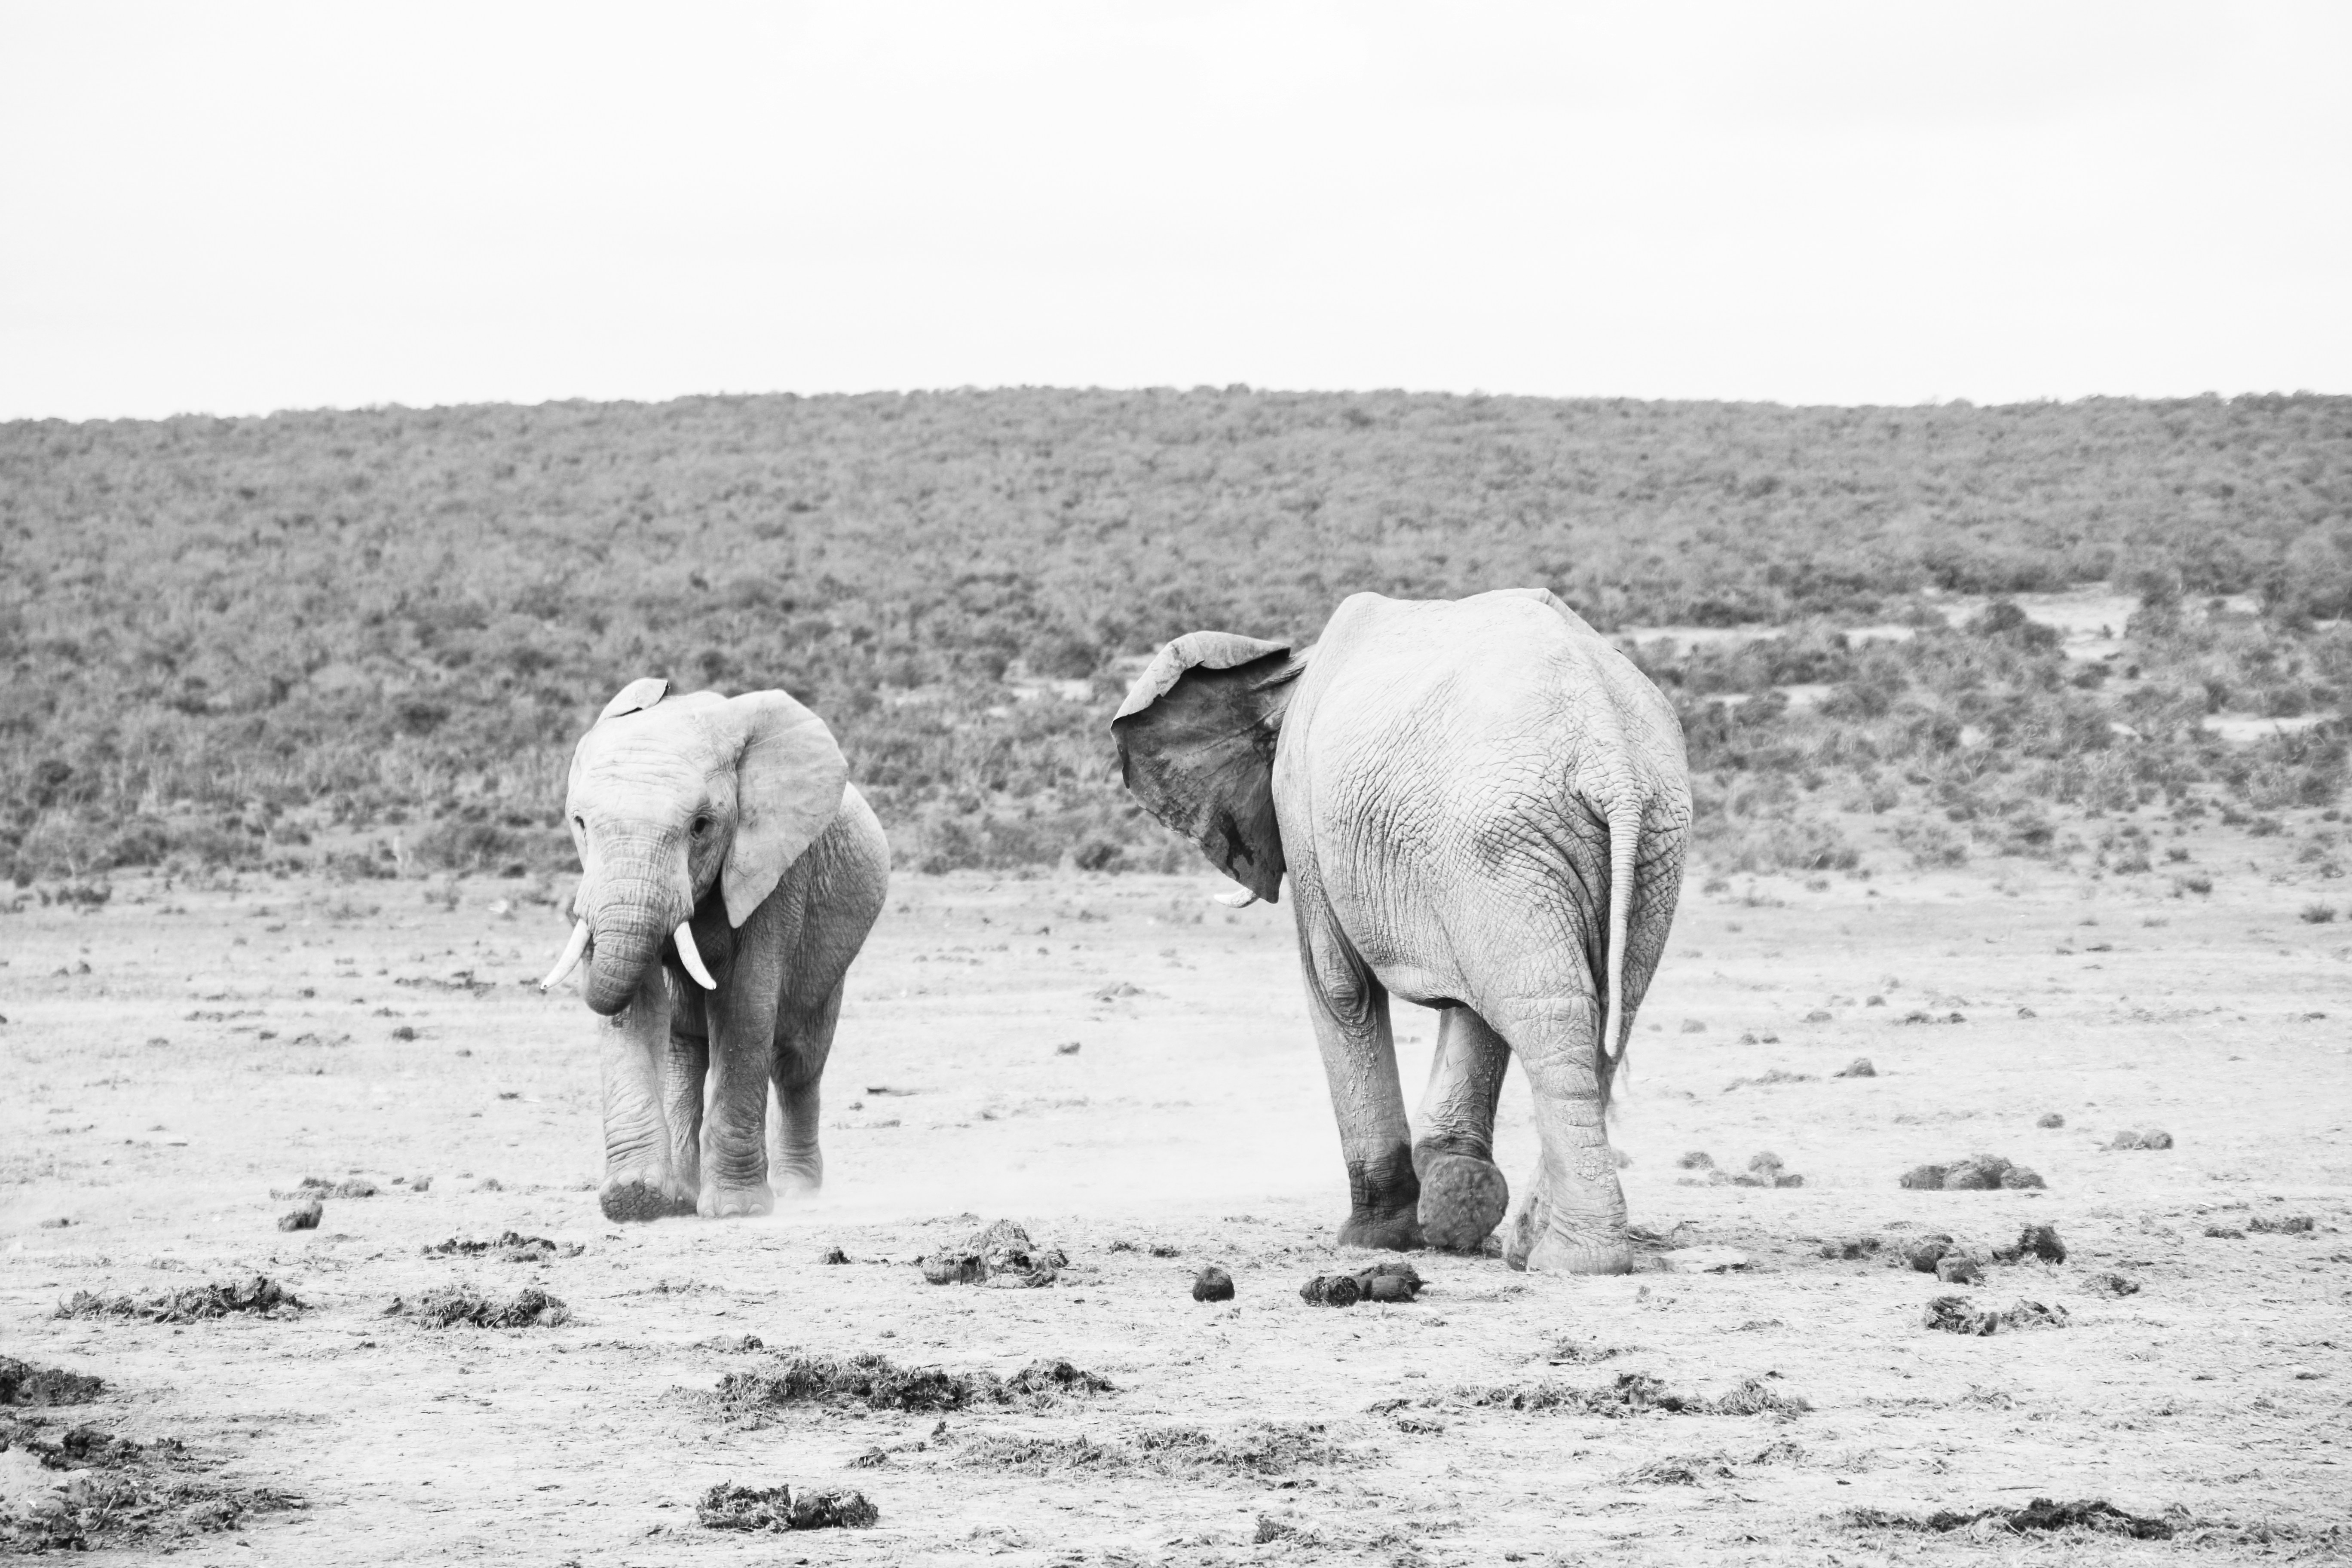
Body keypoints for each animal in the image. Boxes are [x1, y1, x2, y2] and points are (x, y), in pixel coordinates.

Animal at [538, 676, 889, 1222]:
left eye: (700, 826)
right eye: (579, 824)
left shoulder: (775, 873)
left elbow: (744, 1007)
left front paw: (737, 1211)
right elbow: (638, 1010)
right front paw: (633, 1201)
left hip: (835, 952)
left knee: (798, 1062)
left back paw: (795, 1192)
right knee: (685, 1049)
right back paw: (684, 1196)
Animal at [1112, 588, 1690, 1274]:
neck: (1288, 673)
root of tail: (1611, 756)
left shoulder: (1302, 809)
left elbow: (1341, 989)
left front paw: (1378, 1237)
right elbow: (1471, 1003)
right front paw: (1457, 1192)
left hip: (1506, 834)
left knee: (1553, 1014)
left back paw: (1570, 1260)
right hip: (1644, 838)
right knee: (1605, 1014)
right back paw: (1534, 1245)